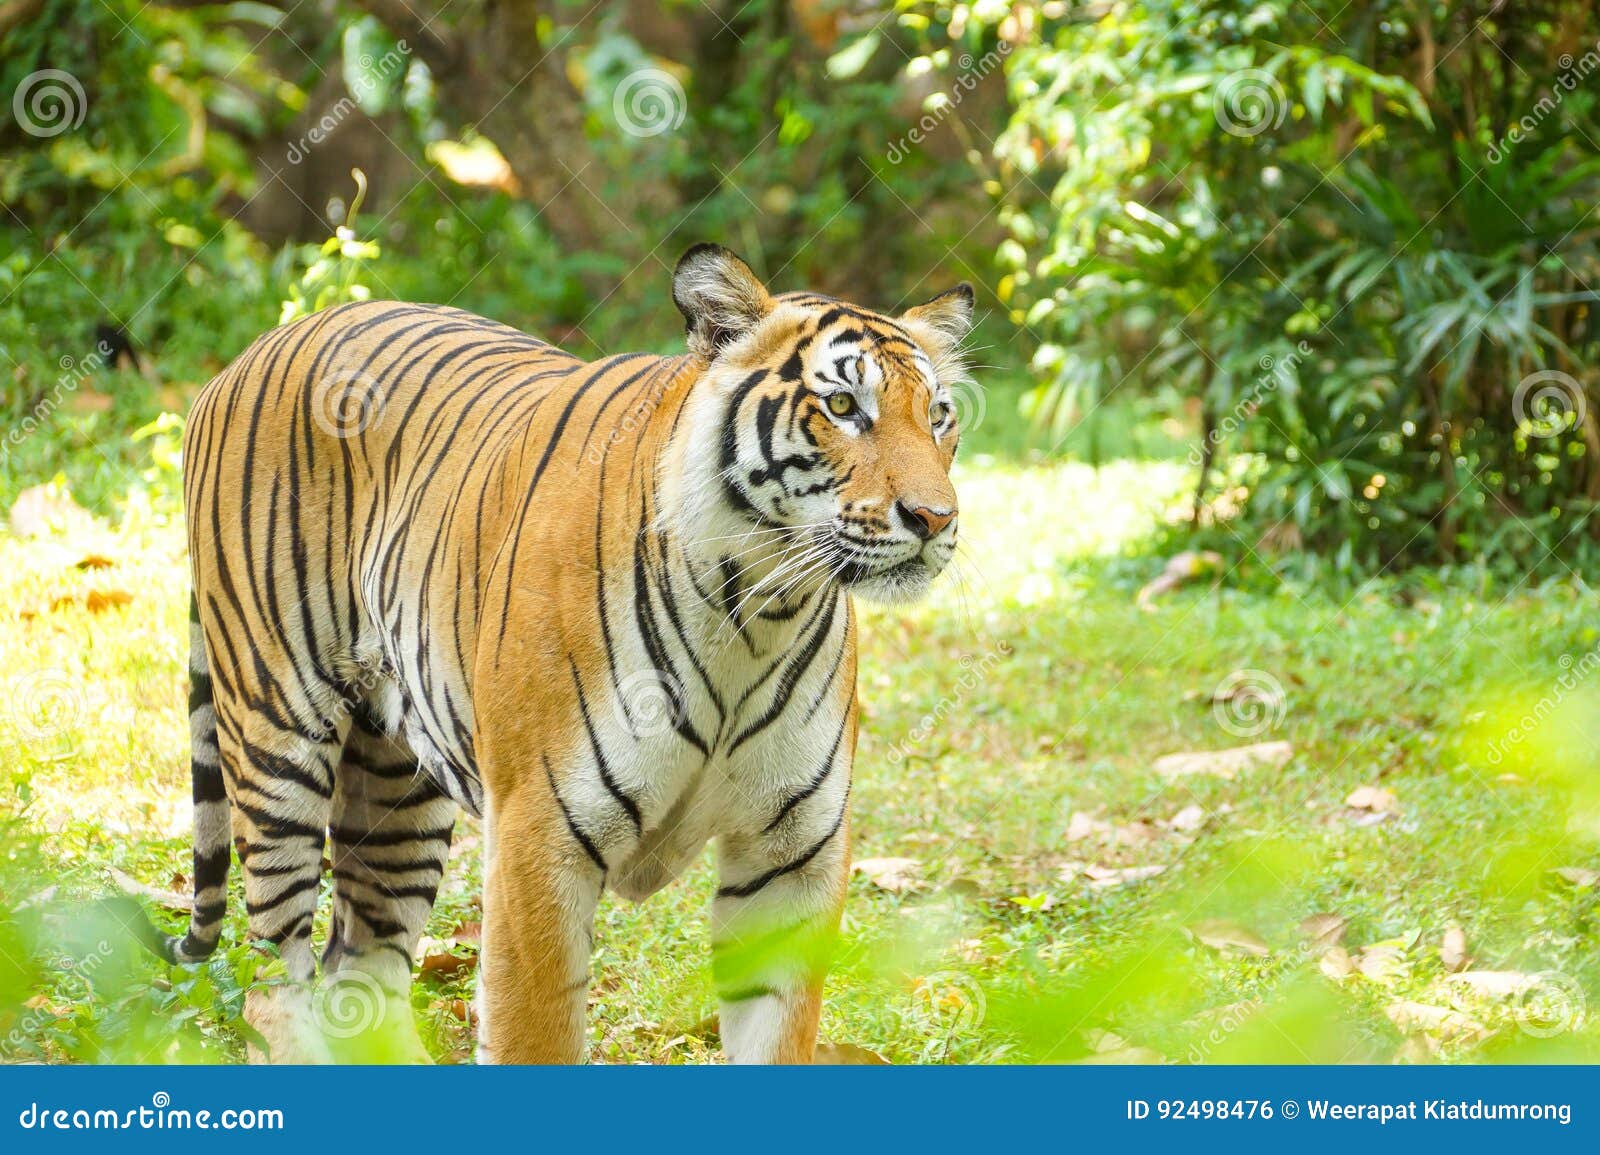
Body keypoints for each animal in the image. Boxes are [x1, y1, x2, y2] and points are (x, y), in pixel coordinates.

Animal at [158, 244, 971, 1063]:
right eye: (842, 408)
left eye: (939, 414)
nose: (935, 518)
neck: (757, 611)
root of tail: (250, 353)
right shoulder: (539, 838)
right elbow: (535, 1032)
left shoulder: (792, 855)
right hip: (277, 730)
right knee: (272, 968)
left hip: (398, 783)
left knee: (361, 967)